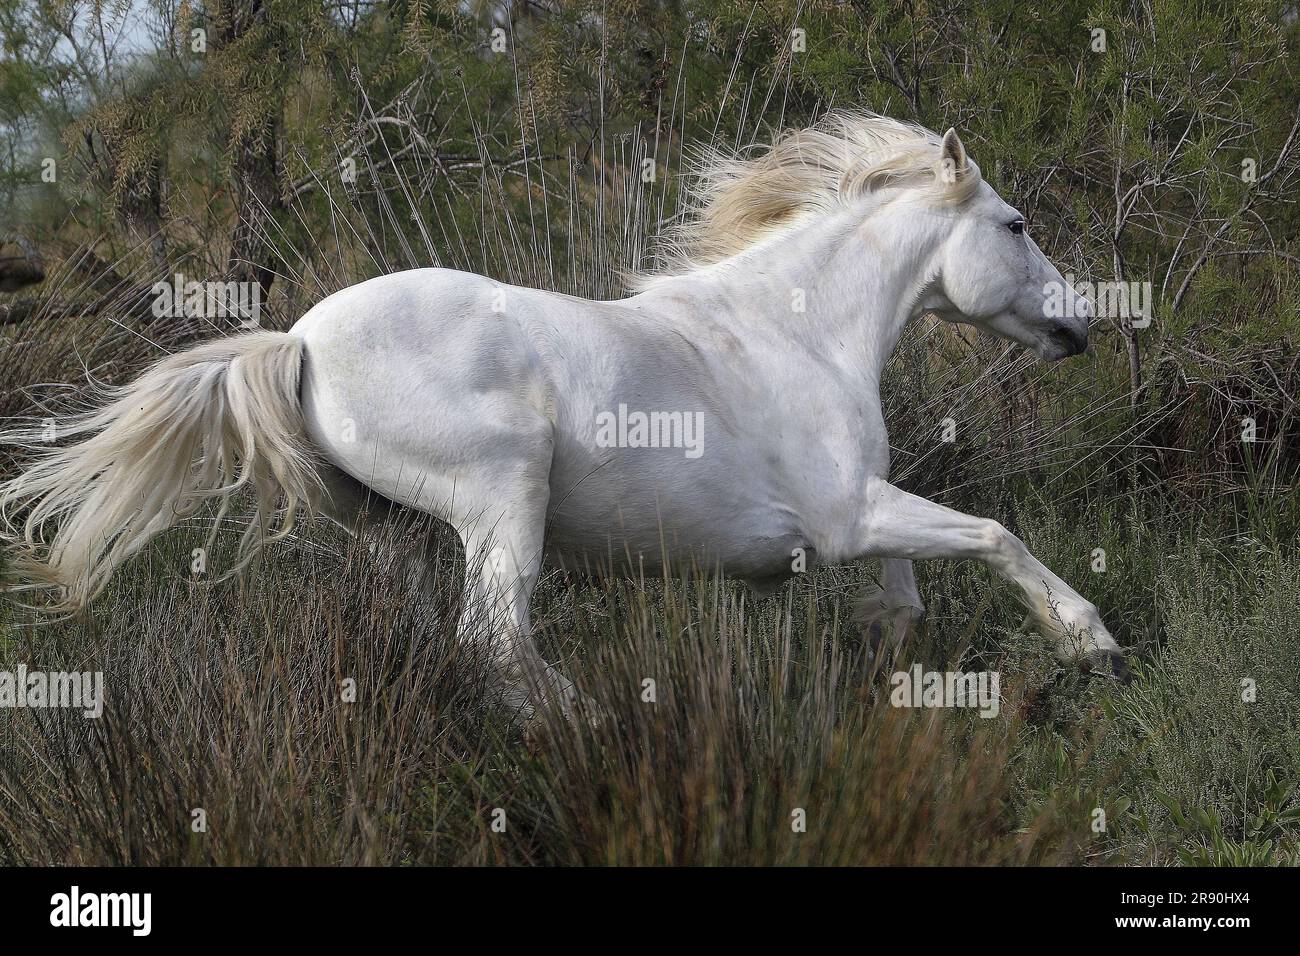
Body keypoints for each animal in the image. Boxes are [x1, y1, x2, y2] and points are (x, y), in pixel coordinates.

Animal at [0, 112, 1124, 719]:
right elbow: (993, 535)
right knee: (495, 641)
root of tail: (300, 343)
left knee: (453, 644)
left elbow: (906, 599)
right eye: (1014, 225)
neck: (794, 330)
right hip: (506, 491)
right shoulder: (847, 511)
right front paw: (1089, 640)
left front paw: (885, 665)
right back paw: (587, 723)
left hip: (395, 532)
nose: (1079, 326)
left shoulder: (851, 521)